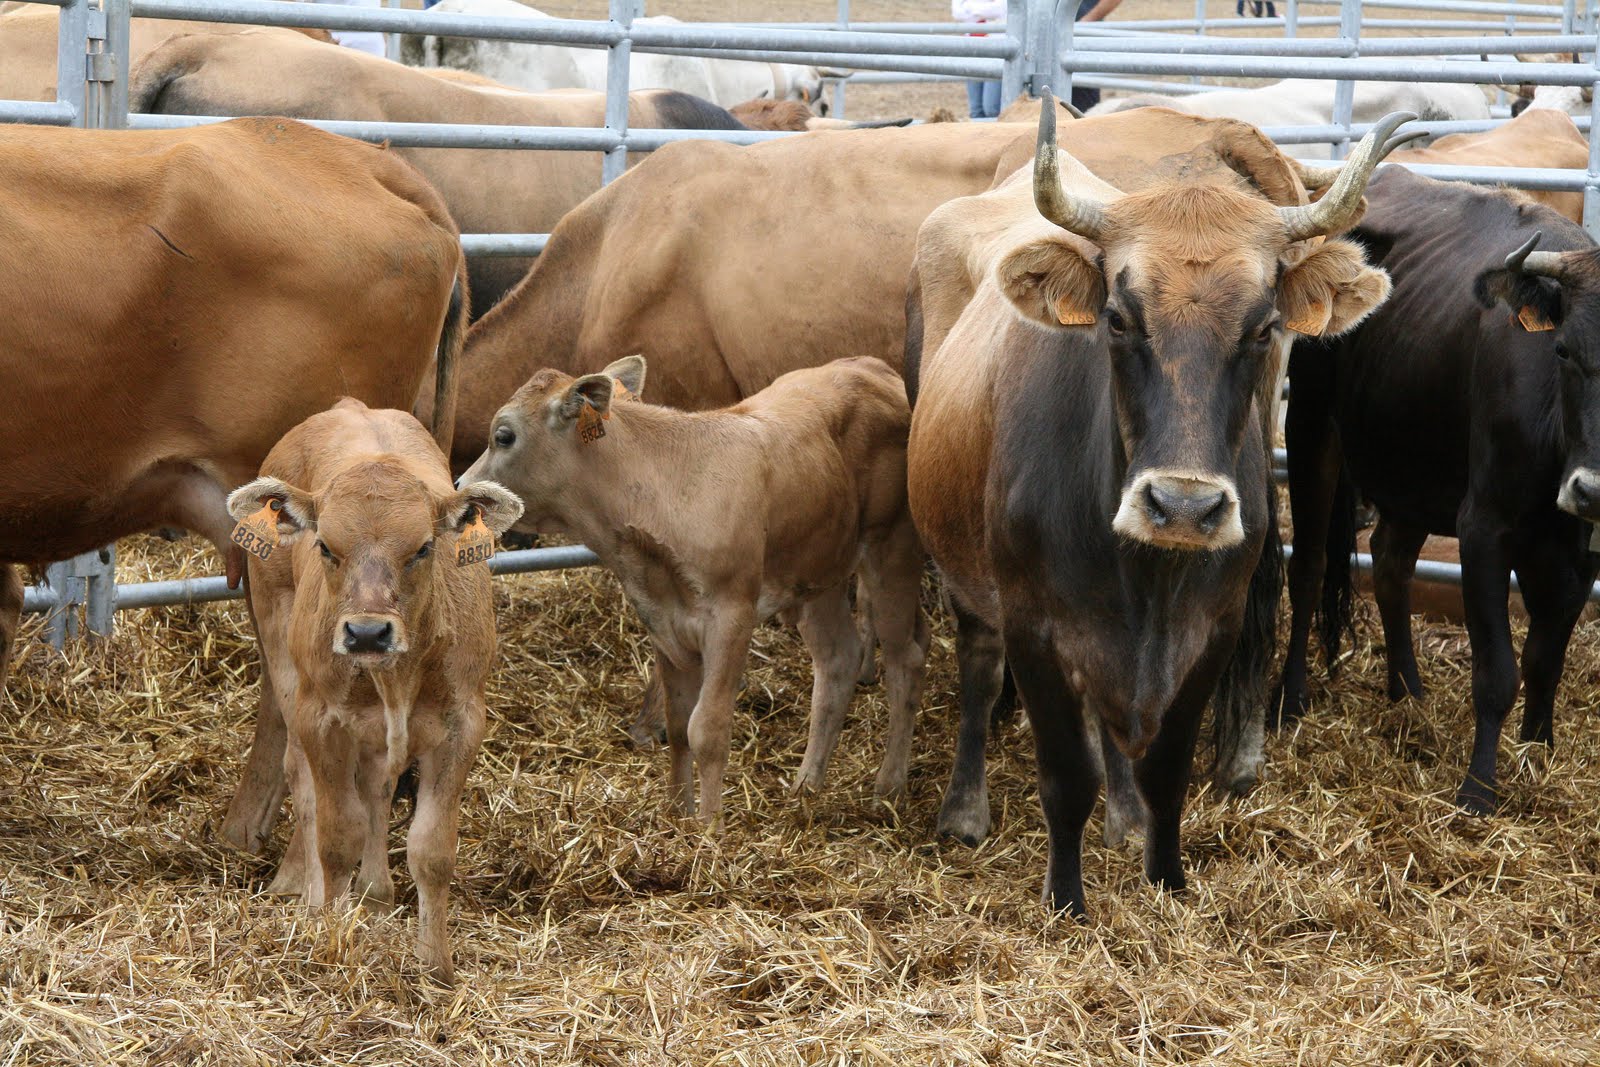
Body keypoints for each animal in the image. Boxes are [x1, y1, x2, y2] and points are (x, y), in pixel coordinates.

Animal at [226, 400, 522, 983]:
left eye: (424, 547)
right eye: (325, 546)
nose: (366, 633)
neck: (399, 675)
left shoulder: (462, 726)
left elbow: (431, 849)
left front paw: (435, 966)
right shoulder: (321, 719)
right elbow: (337, 836)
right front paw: (332, 940)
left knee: (377, 788)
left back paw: (376, 893)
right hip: (284, 663)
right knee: (303, 781)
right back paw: (309, 894)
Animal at [457, 355, 928, 819]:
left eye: (503, 435)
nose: (462, 489)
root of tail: (873, 368)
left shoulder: (731, 616)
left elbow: (707, 728)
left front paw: (708, 828)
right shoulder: (662, 618)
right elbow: (679, 724)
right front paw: (677, 817)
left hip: (893, 548)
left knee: (905, 660)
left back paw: (887, 788)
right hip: (818, 569)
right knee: (837, 661)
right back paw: (805, 787)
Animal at [906, 95, 1404, 916]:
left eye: (1265, 327)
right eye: (1117, 317)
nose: (1183, 506)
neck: (1144, 571)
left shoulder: (1213, 629)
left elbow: (1166, 767)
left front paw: (1164, 874)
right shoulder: (1034, 628)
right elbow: (1064, 776)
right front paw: (1067, 902)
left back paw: (1125, 817)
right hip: (969, 575)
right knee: (978, 666)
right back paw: (965, 808)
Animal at [1277, 166, 1600, 815]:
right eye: (1562, 350)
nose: (1592, 489)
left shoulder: (1575, 553)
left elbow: (1545, 659)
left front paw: (1539, 752)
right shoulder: (1485, 531)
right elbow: (1498, 671)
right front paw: (1479, 789)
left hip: (1412, 465)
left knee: (1391, 564)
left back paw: (1406, 691)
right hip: (1311, 426)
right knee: (1309, 565)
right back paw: (1291, 699)